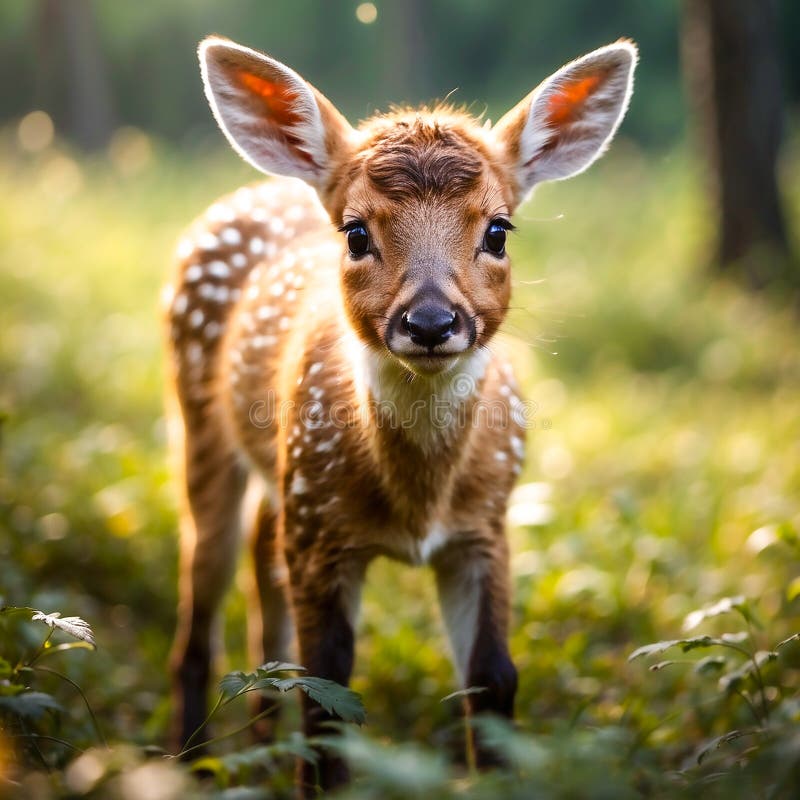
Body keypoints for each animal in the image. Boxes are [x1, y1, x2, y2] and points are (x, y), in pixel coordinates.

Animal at [165, 35, 636, 794]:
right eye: (356, 233)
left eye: (498, 230)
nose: (432, 321)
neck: (417, 502)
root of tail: (262, 185)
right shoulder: (322, 536)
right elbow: (326, 697)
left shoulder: (485, 526)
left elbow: (493, 680)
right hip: (202, 432)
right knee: (199, 614)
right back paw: (192, 764)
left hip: (281, 487)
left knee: (262, 585)